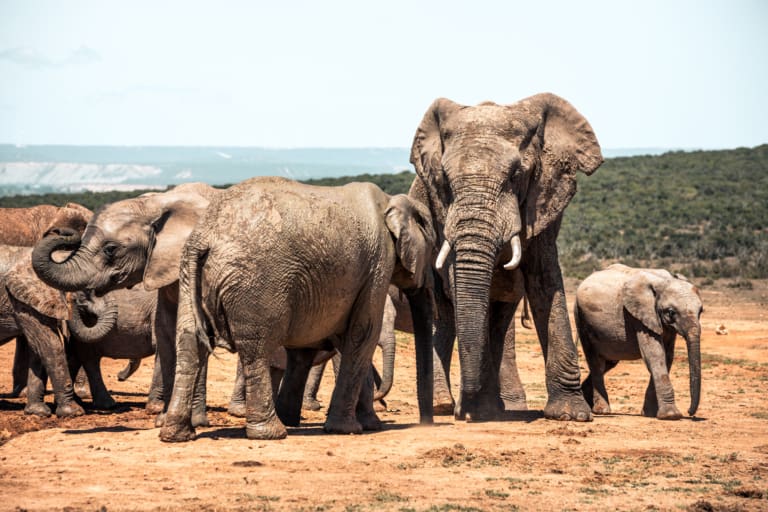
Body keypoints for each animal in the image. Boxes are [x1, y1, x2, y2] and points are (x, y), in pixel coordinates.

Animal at [31, 182, 220, 426]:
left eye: (110, 249)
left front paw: (188, 421)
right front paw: (163, 418)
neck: (157, 203)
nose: (63, 232)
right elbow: (165, 333)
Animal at [159, 177, 434, 442]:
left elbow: (311, 348)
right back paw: (271, 433)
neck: (391, 201)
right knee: (256, 349)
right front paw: (349, 429)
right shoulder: (378, 264)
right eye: (431, 248)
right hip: (256, 284)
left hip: (189, 275)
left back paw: (176, 435)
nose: (426, 424)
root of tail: (204, 237)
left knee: (190, 342)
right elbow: (362, 334)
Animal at [408, 92, 603, 422]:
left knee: (497, 319)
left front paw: (570, 414)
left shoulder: (542, 202)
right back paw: (445, 406)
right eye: (445, 180)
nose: (464, 412)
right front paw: (477, 411)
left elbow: (545, 282)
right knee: (445, 316)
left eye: (515, 176)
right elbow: (460, 287)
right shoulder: (443, 213)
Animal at [574, 264, 702, 420]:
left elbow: (667, 357)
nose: (690, 412)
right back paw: (602, 411)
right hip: (581, 317)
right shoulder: (639, 315)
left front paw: (649, 414)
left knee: (608, 363)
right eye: (671, 312)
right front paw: (671, 415)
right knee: (595, 362)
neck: (664, 281)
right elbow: (655, 354)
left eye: (701, 311)